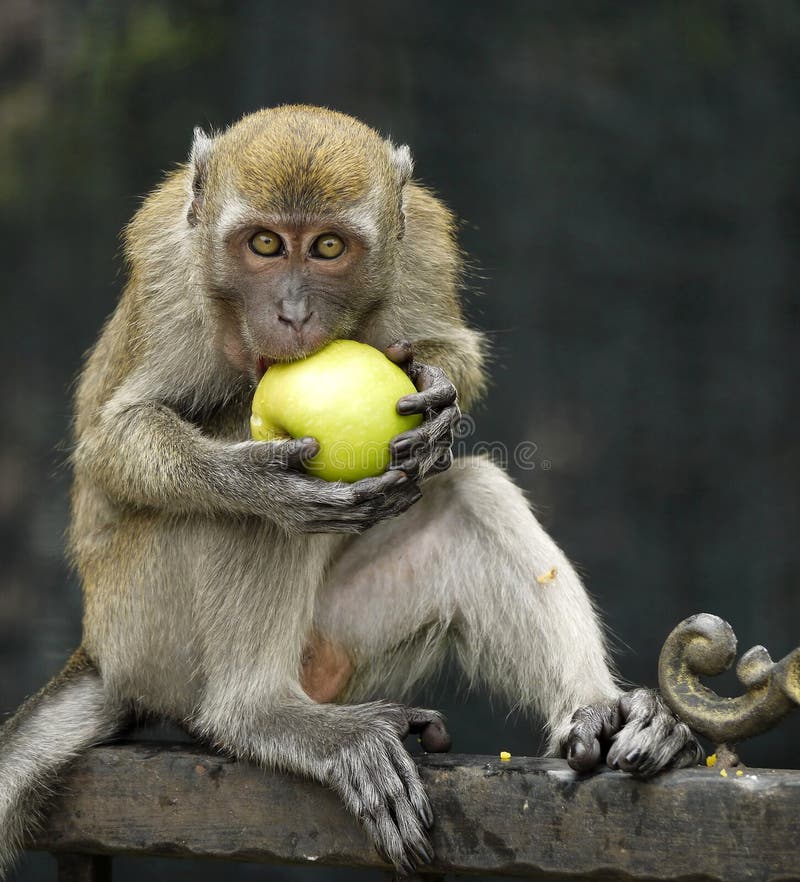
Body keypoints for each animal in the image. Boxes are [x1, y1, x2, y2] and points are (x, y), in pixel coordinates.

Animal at [0, 105, 702, 878]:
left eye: (328, 247)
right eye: (266, 244)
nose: (293, 312)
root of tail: (101, 650)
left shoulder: (419, 248)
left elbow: (451, 355)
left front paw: (437, 395)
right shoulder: (168, 277)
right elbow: (115, 442)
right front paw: (257, 480)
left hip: (335, 642)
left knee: (470, 493)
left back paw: (603, 715)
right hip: (144, 620)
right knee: (249, 494)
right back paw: (262, 714)